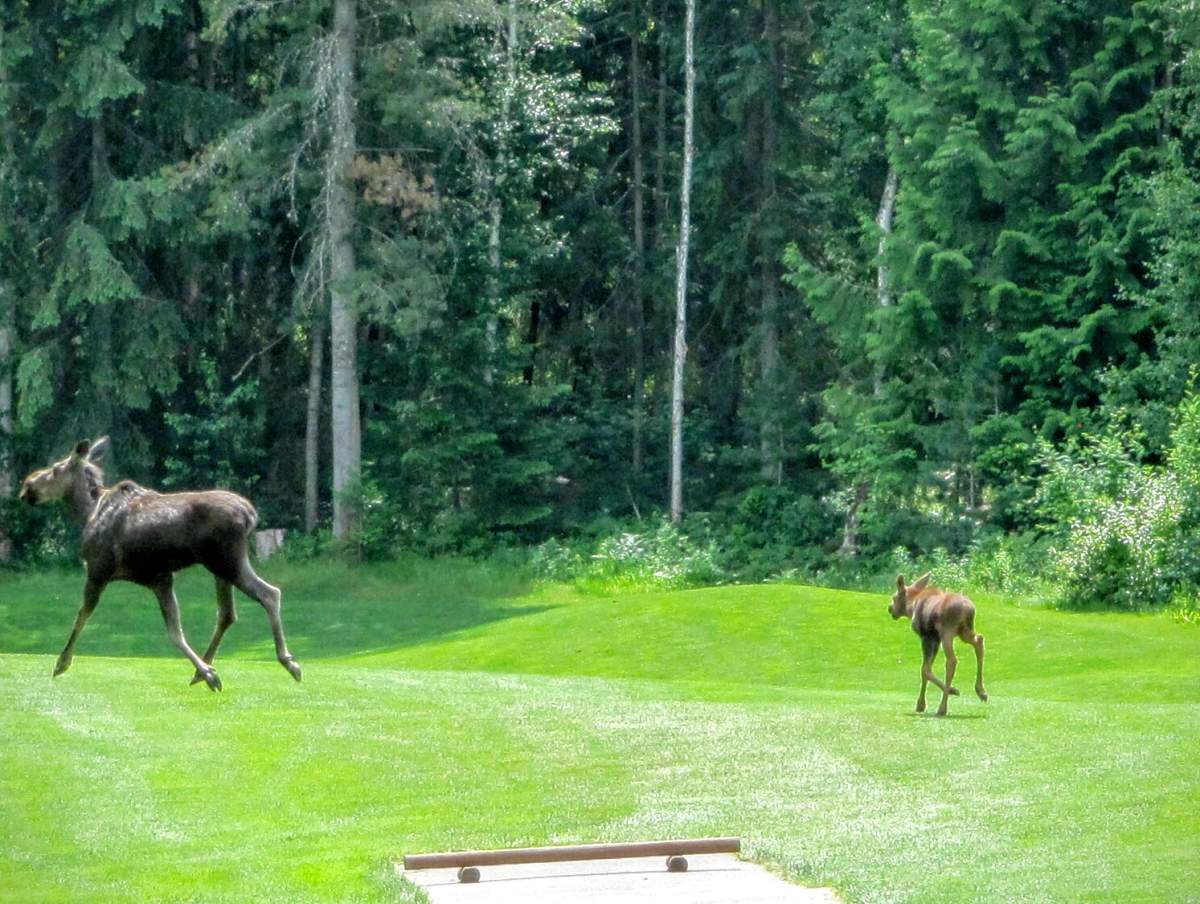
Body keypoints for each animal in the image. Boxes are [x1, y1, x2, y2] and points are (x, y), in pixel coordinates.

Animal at [19, 437, 302, 691]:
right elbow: (175, 631)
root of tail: (251, 514)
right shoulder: (160, 577)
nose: (27, 486)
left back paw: (287, 661)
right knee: (228, 612)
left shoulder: (99, 569)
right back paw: (207, 668)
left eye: (55, 469)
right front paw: (206, 672)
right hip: (221, 567)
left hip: (226, 562)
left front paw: (62, 662)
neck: (87, 512)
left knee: (269, 594)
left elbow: (82, 614)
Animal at [889, 572, 987, 716]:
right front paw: (921, 705)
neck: (911, 607)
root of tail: (969, 609)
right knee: (979, 640)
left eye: (894, 597)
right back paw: (981, 692)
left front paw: (951, 691)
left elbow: (925, 669)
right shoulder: (935, 639)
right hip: (964, 631)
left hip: (948, 631)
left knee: (952, 660)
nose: (890, 608)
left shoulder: (927, 636)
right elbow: (926, 668)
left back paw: (942, 707)